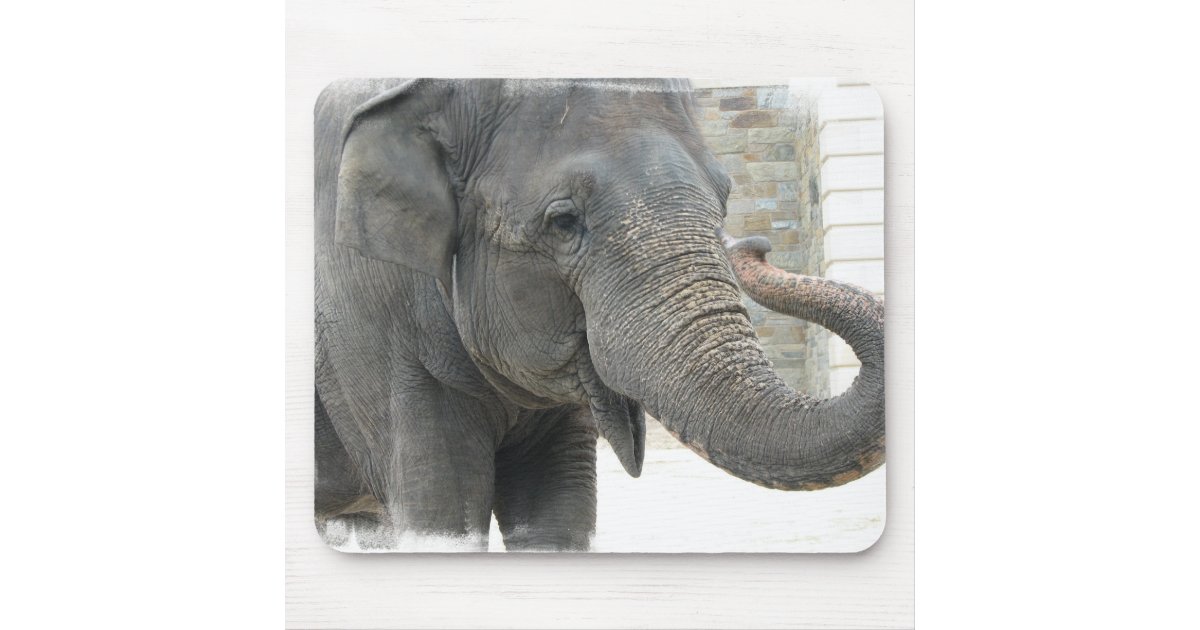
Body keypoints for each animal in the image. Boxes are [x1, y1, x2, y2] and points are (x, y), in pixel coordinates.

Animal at [314, 78, 885, 551]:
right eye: (564, 221)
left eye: (724, 199)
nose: (757, 245)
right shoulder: (370, 322)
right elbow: (443, 516)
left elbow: (556, 517)